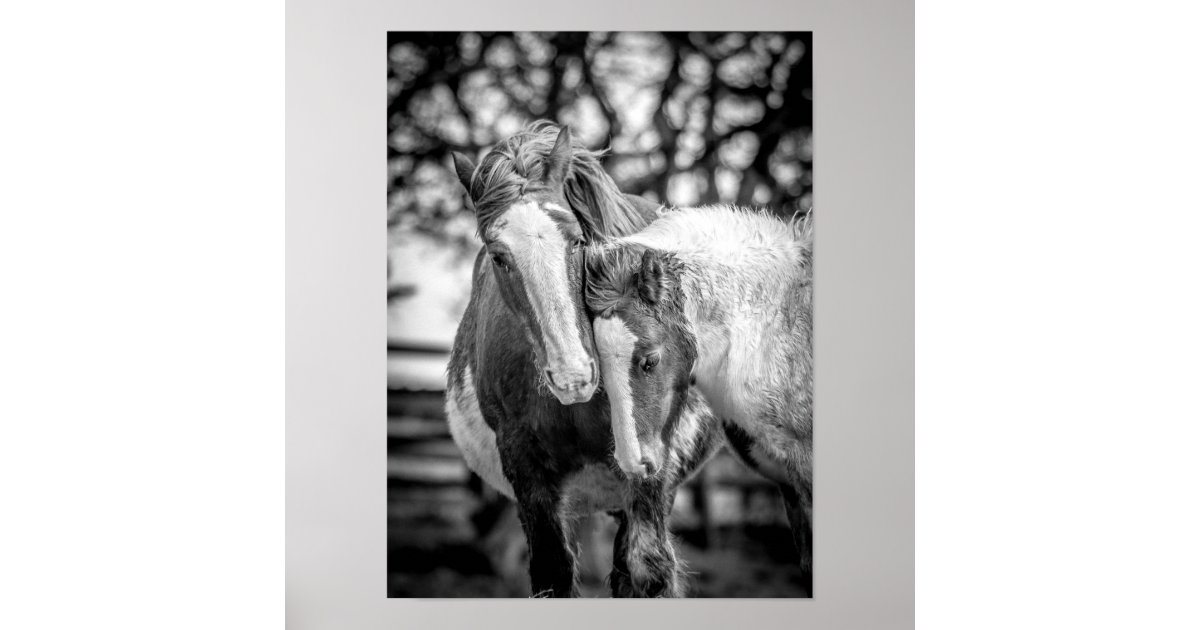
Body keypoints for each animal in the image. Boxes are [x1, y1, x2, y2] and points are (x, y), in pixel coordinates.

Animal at [443, 122, 723, 597]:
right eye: (499, 257)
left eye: (576, 240)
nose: (573, 376)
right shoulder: (525, 466)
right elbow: (552, 572)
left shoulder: (651, 464)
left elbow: (648, 570)